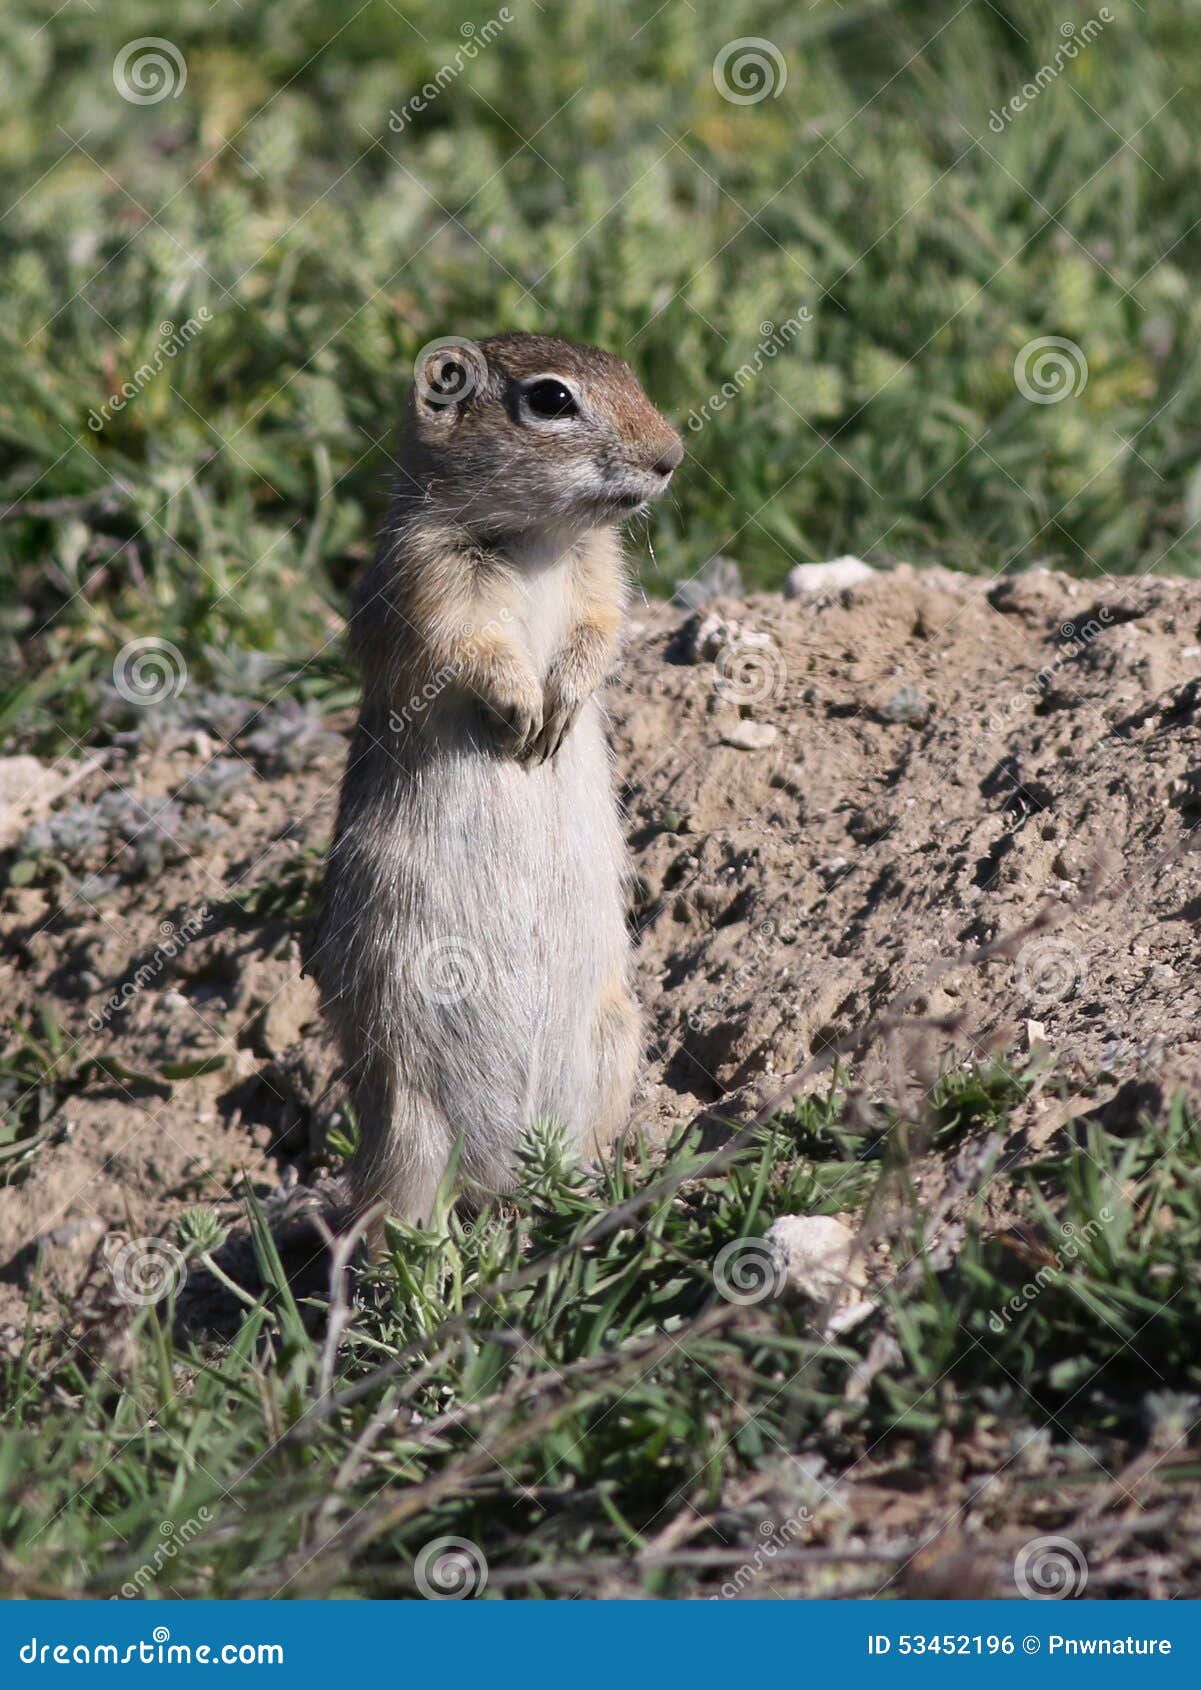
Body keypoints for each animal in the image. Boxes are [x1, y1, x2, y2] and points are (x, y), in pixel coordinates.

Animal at [315, 332, 682, 1231]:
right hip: (406, 1119)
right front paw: (518, 716)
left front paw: (556, 715)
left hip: (615, 1044)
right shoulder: (426, 575)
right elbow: (468, 645)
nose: (671, 457)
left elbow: (598, 630)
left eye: (629, 372)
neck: (535, 541)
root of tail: (503, 1179)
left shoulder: (599, 577)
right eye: (550, 399)